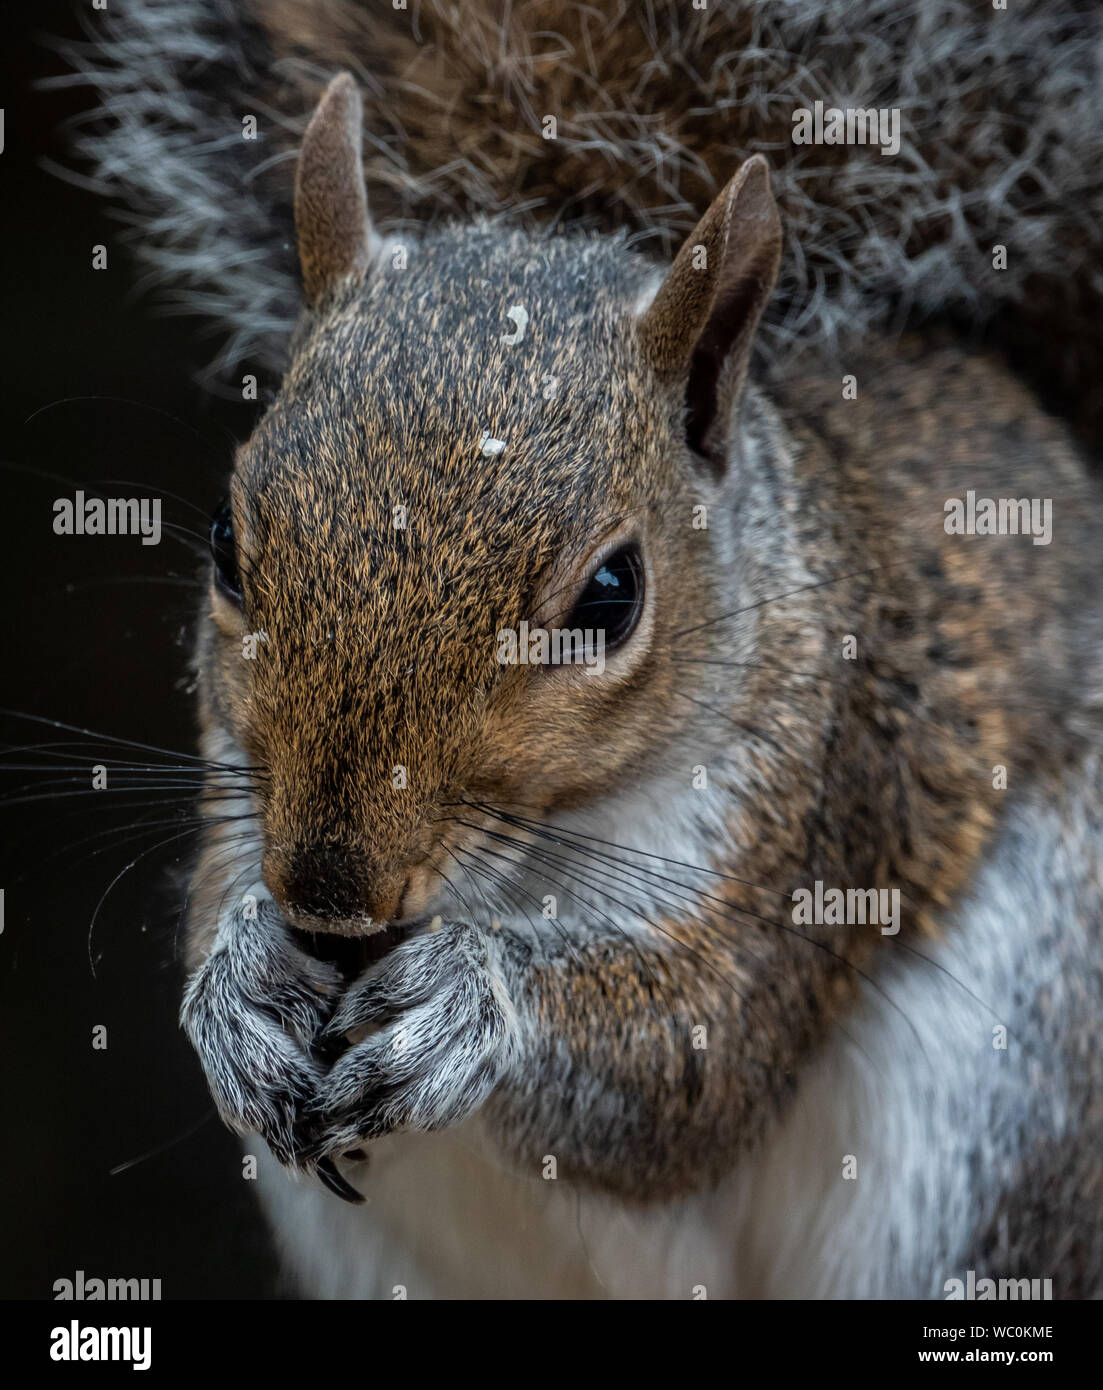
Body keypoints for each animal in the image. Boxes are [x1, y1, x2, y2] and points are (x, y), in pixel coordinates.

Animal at [67, 3, 1103, 1297]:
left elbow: (695, 1058)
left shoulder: (820, 787)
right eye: (222, 541)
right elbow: (217, 895)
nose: (327, 897)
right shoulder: (231, 774)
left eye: (612, 595)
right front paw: (236, 987)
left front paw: (474, 1002)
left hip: (1014, 1083)